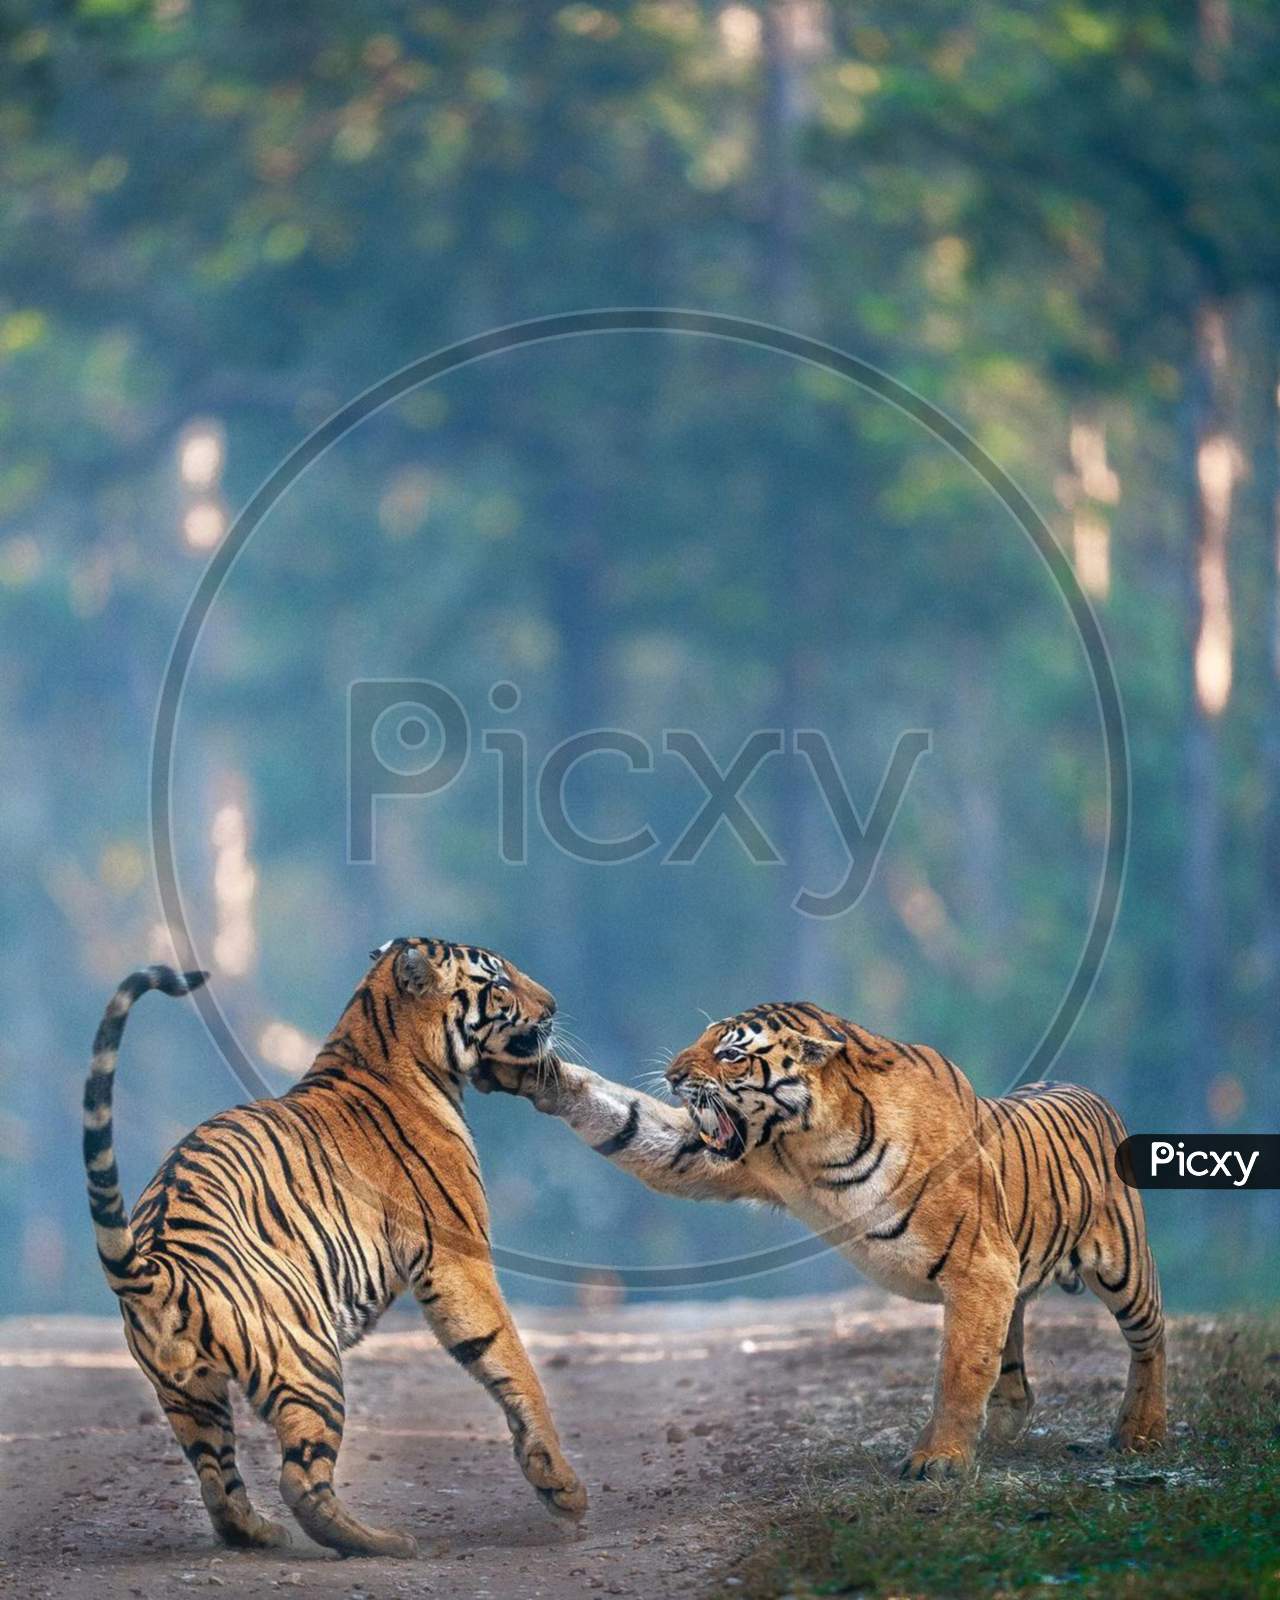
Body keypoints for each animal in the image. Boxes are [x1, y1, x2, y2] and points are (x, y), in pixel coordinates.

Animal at [83, 940, 587, 1559]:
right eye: (499, 982)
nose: (553, 1005)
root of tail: (155, 1265)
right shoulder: (456, 1256)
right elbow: (510, 1358)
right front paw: (561, 1486)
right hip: (308, 1359)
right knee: (301, 1481)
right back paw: (383, 1542)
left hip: (188, 1395)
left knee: (216, 1479)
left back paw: (259, 1533)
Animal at [475, 999, 1166, 1480]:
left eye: (730, 1054)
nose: (671, 1075)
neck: (811, 1141)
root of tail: (1091, 1091)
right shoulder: (709, 1154)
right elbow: (627, 1119)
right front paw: (529, 1071)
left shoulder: (979, 1265)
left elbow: (959, 1368)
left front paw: (939, 1460)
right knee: (1017, 1339)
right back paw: (1010, 1418)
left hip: (1124, 1268)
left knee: (1150, 1340)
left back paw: (1141, 1433)